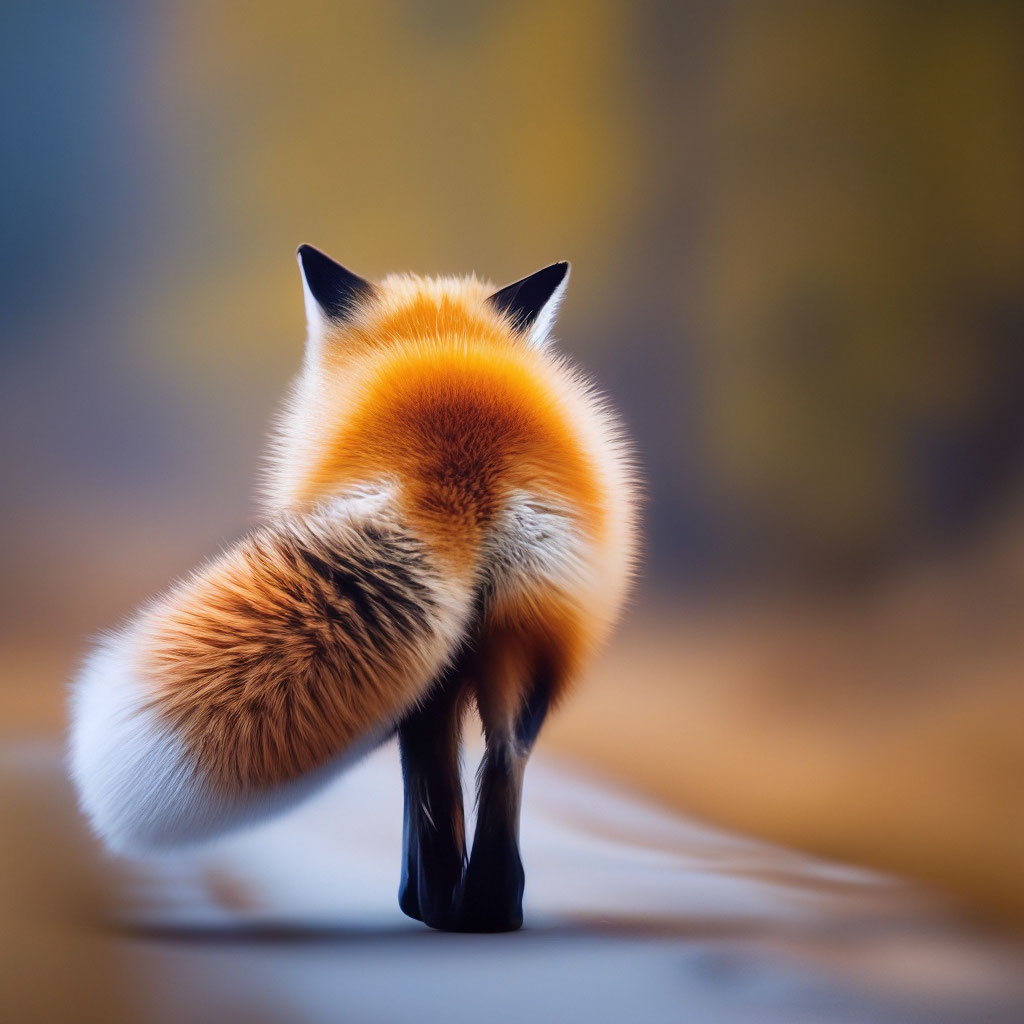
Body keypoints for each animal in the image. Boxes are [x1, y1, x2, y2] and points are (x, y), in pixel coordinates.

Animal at [69, 245, 638, 931]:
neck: (435, 343)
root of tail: (456, 473)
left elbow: (422, 781)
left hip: (439, 671)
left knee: (432, 768)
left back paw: (434, 904)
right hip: (521, 646)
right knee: (504, 760)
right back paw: (491, 909)